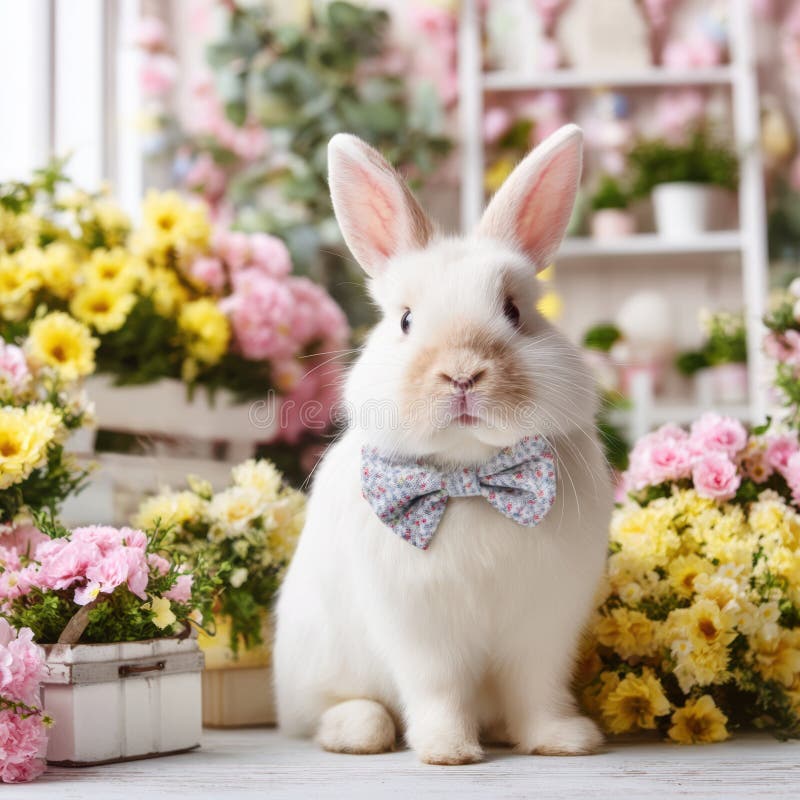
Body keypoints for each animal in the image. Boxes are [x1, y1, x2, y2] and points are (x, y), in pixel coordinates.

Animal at [273, 123, 612, 765]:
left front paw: (564, 741)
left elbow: (536, 692)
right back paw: (361, 729)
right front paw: (448, 751)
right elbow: (438, 692)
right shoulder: (421, 634)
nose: (462, 374)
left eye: (515, 312)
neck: (469, 476)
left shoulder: (542, 630)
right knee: (327, 715)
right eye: (405, 320)